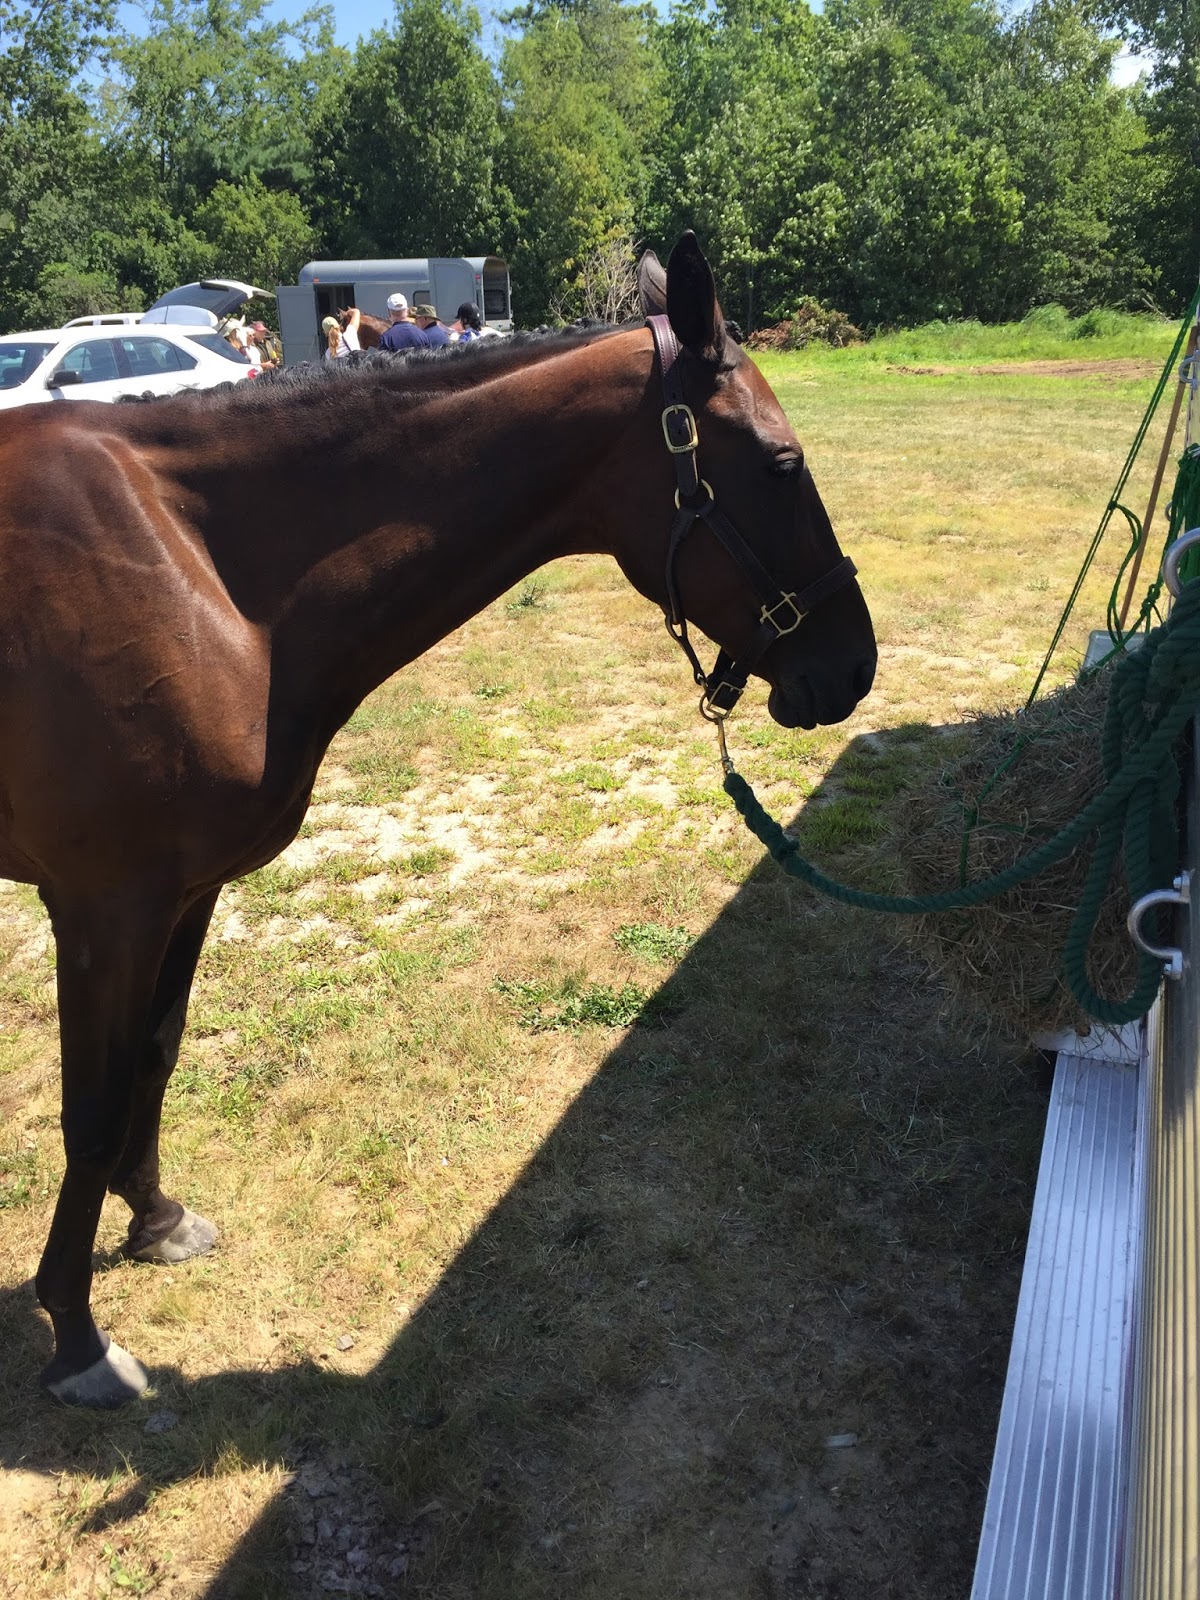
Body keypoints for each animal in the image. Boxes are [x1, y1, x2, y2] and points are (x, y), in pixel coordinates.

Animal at [0, 233, 876, 1407]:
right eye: (781, 465)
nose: (854, 665)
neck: (191, 569)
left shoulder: (185, 890)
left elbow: (155, 1055)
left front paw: (157, 1221)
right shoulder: (105, 906)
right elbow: (91, 1109)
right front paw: (78, 1333)